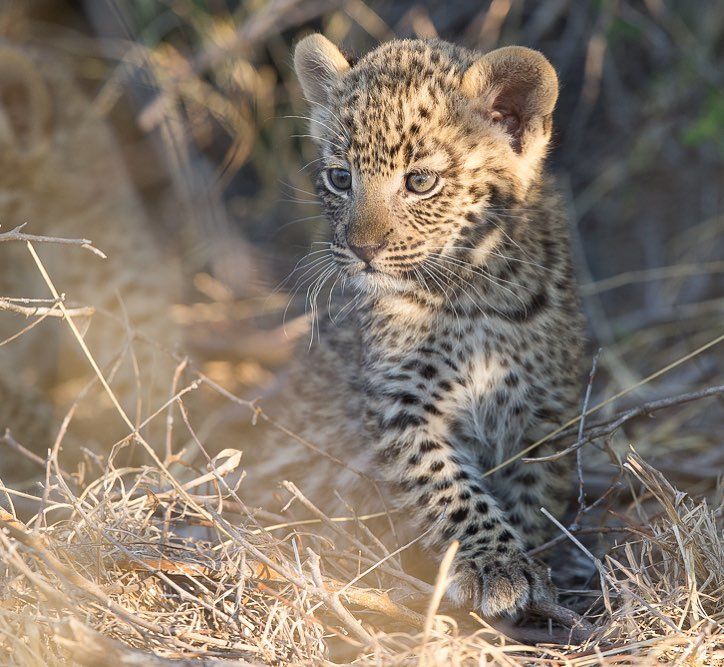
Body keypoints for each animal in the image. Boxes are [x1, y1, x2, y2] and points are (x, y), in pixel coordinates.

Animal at [245, 34, 587, 619]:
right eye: (340, 178)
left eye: (420, 182)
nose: (361, 250)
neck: (470, 294)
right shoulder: (402, 402)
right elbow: (447, 487)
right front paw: (495, 565)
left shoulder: (544, 407)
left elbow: (535, 490)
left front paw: (526, 564)